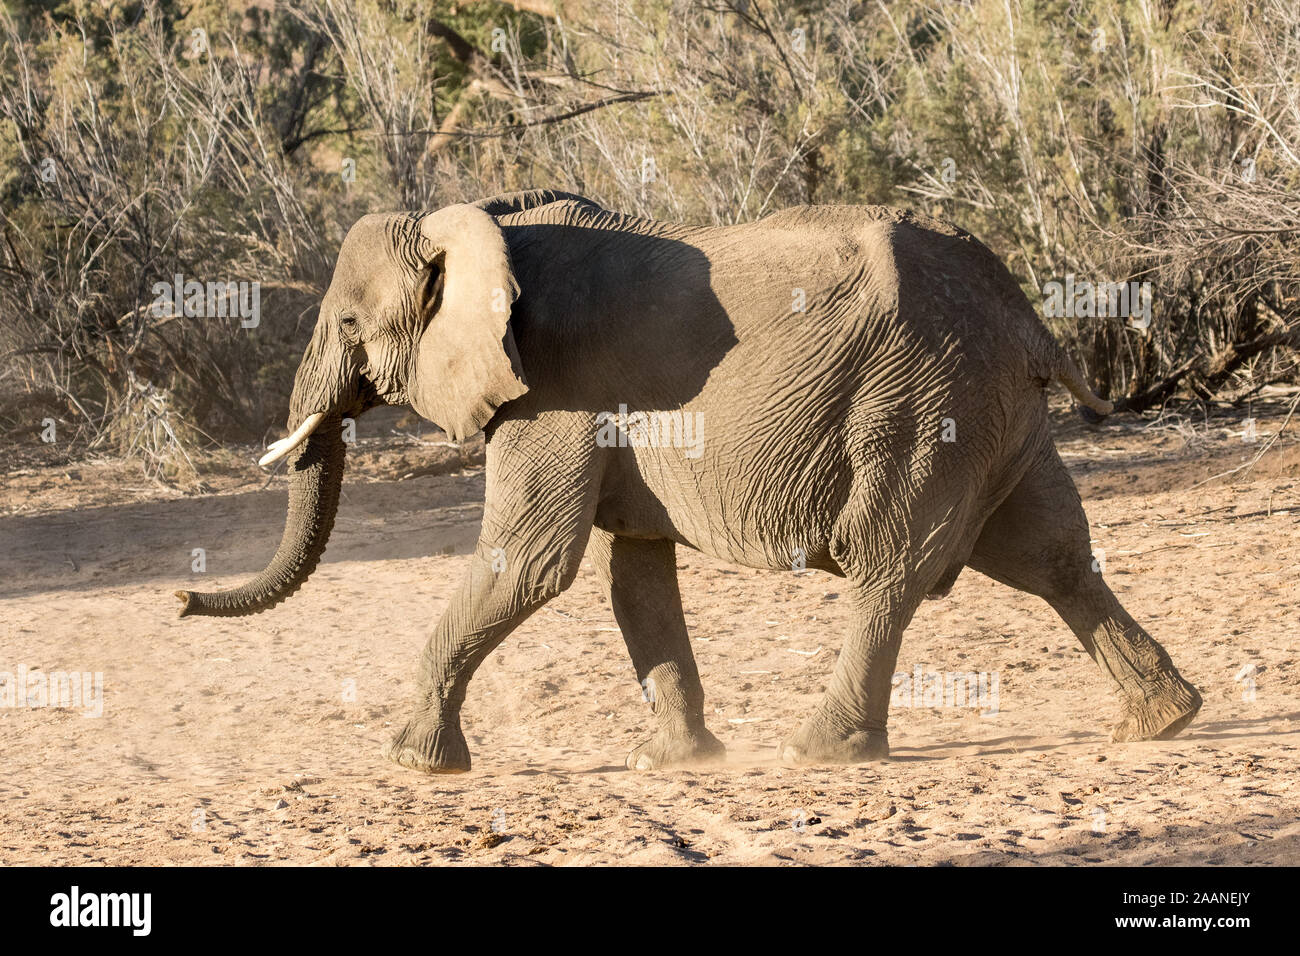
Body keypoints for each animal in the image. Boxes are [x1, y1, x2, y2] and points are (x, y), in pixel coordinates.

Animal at [175, 188, 1203, 773]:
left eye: (350, 325)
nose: (182, 601)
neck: (481, 223)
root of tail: (1028, 313)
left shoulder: (553, 389)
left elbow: (529, 562)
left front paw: (407, 766)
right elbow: (633, 575)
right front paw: (674, 764)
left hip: (921, 399)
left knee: (889, 566)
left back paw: (819, 753)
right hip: (990, 405)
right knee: (1050, 554)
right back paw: (1161, 723)